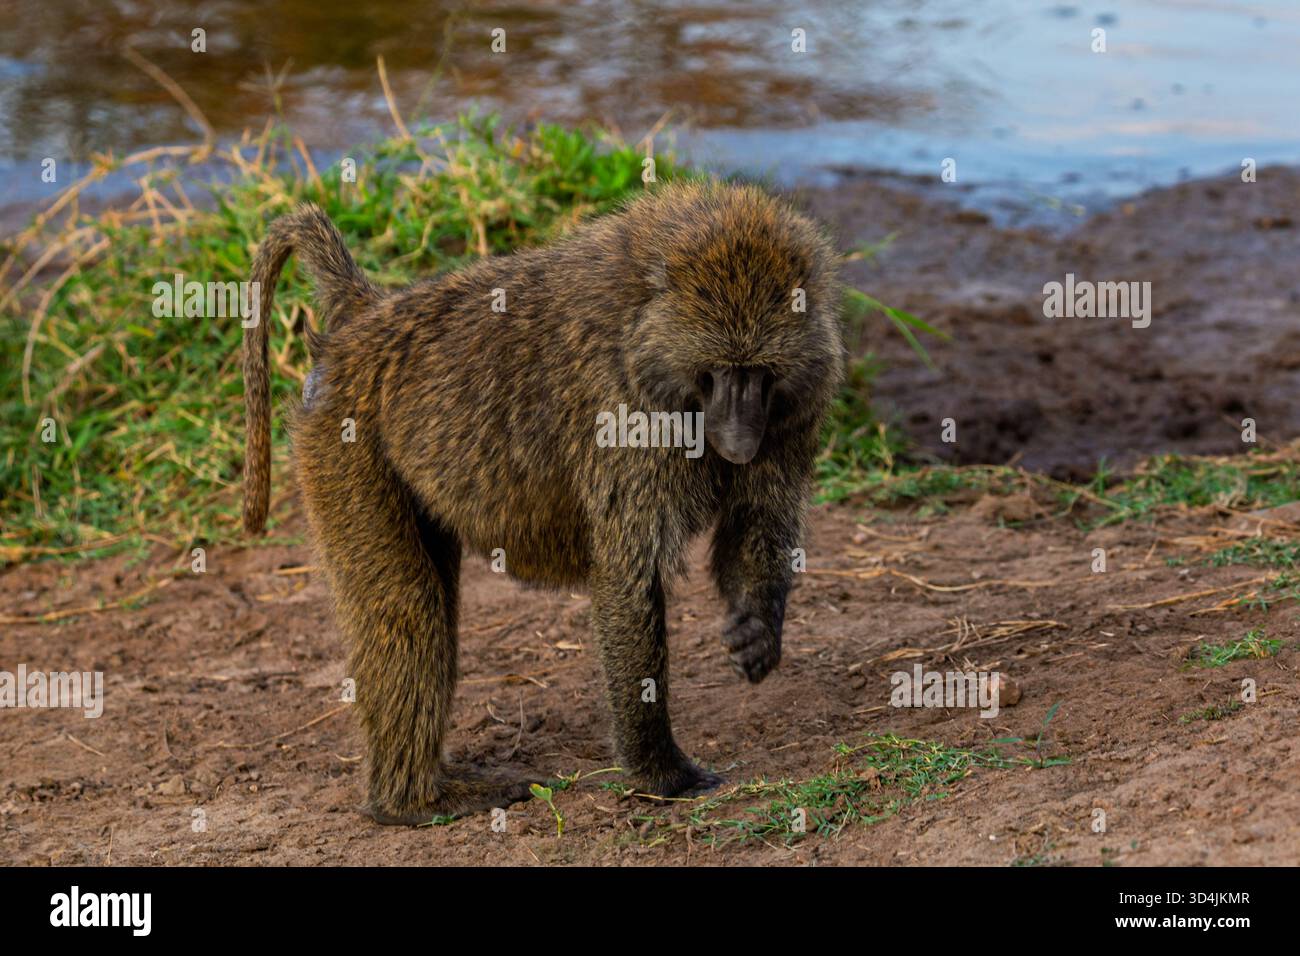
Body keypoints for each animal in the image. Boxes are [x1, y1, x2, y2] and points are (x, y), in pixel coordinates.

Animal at [243, 180, 845, 824]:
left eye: (759, 372)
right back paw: (411, 801)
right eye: (718, 371)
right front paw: (661, 773)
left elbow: (755, 522)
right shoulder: (624, 412)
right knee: (409, 609)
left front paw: (756, 630)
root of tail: (366, 318)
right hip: (344, 446)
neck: (644, 323)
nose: (738, 441)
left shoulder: (795, 405)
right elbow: (628, 574)